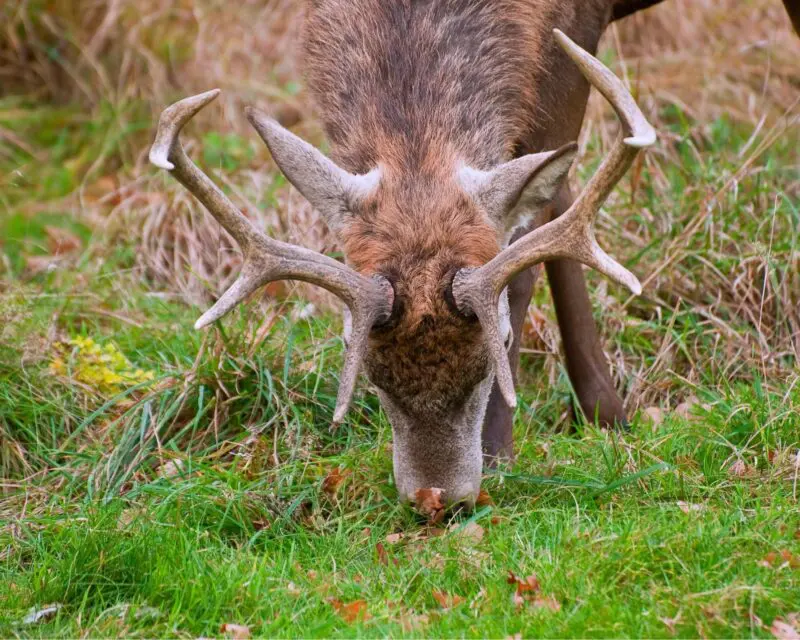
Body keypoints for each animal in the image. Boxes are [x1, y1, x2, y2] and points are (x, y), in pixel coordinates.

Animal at [149, 0, 799, 508]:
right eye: (364, 366)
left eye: (501, 346)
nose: (435, 498)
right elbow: (552, 194)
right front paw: (595, 411)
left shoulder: (571, 43)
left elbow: (534, 230)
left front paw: (513, 443)